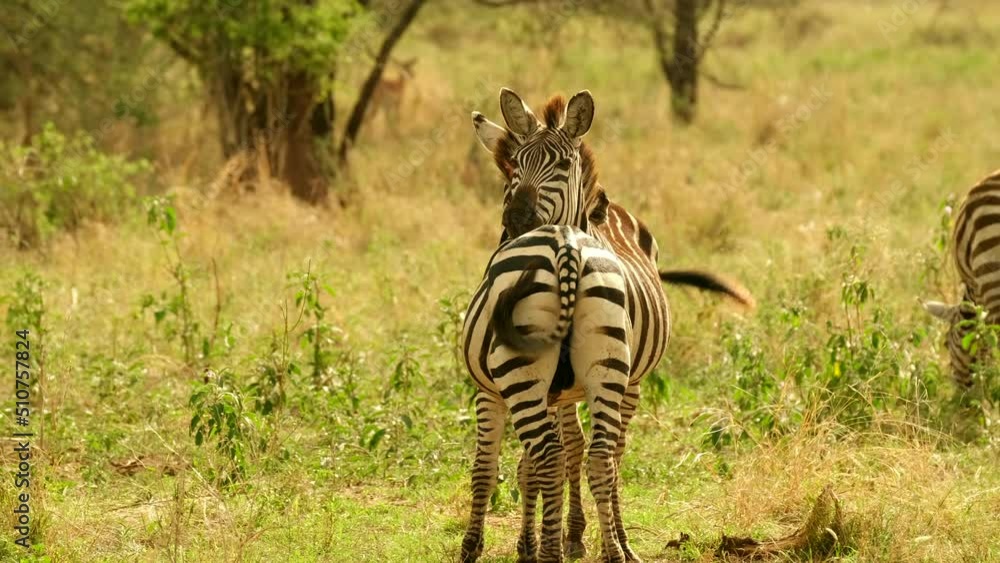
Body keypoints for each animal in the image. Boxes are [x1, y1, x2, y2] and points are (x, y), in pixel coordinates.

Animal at [460, 88, 754, 563]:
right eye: (516, 164)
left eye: (562, 165)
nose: (515, 222)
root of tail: (567, 246)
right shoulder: (555, 392)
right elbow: (544, 461)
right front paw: (542, 539)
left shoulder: (490, 390)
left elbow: (490, 468)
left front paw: (491, 546)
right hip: (607, 368)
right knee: (597, 455)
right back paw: (606, 545)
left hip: (604, 379)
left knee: (575, 454)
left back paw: (585, 544)